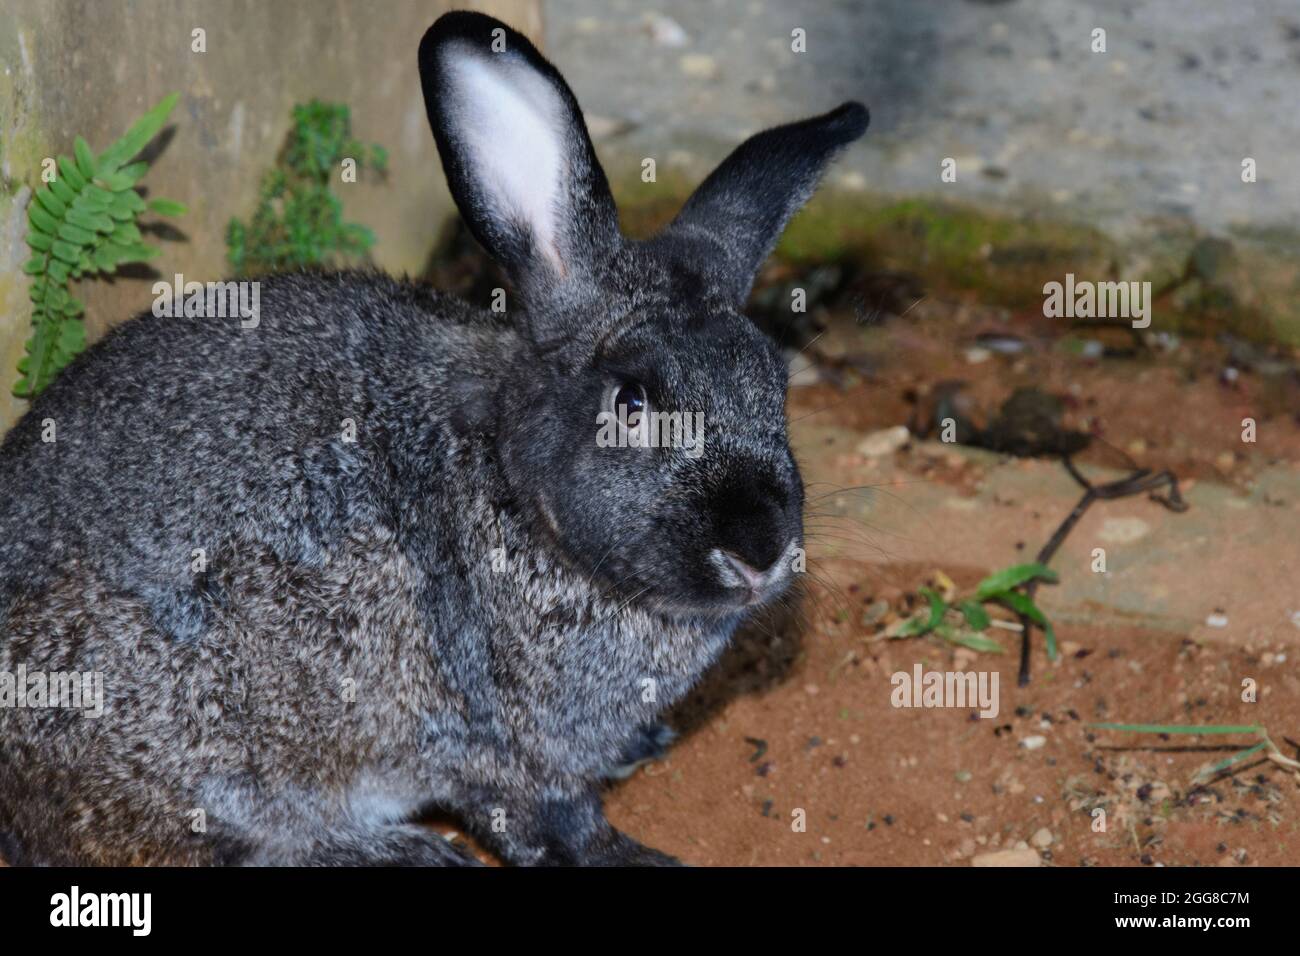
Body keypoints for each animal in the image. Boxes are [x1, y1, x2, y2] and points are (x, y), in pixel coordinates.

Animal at [0, 10, 868, 866]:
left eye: (775, 384)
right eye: (631, 403)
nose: (758, 550)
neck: (516, 494)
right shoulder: (501, 751)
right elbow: (550, 820)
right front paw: (636, 857)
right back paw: (400, 850)